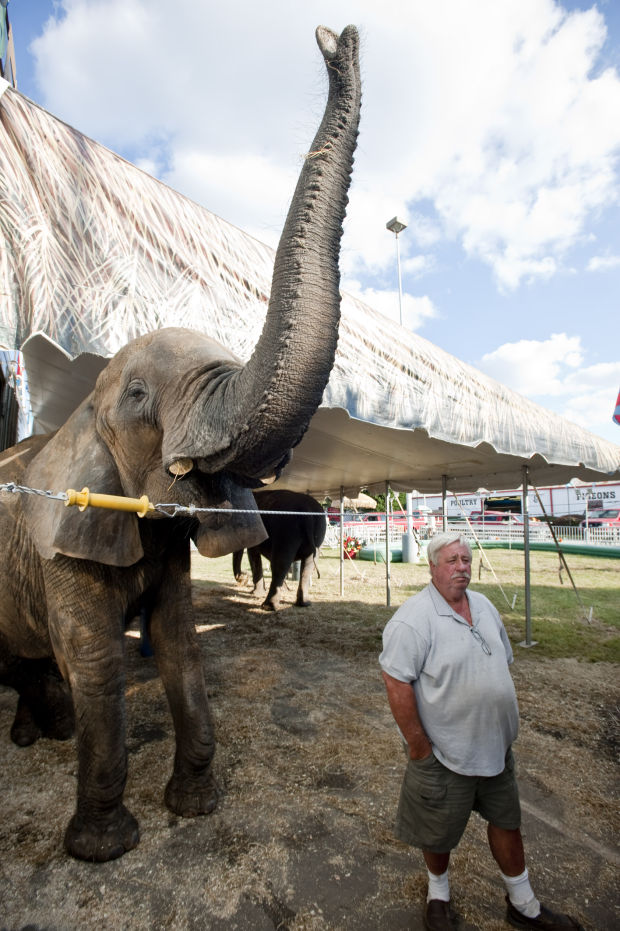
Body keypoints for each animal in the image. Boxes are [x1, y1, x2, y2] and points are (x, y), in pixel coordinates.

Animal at [0, 24, 361, 862]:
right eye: (137, 398)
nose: (336, 39)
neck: (79, 417)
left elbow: (179, 643)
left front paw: (195, 804)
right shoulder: (60, 541)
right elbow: (99, 661)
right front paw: (103, 848)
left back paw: (48, 732)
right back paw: (38, 738)